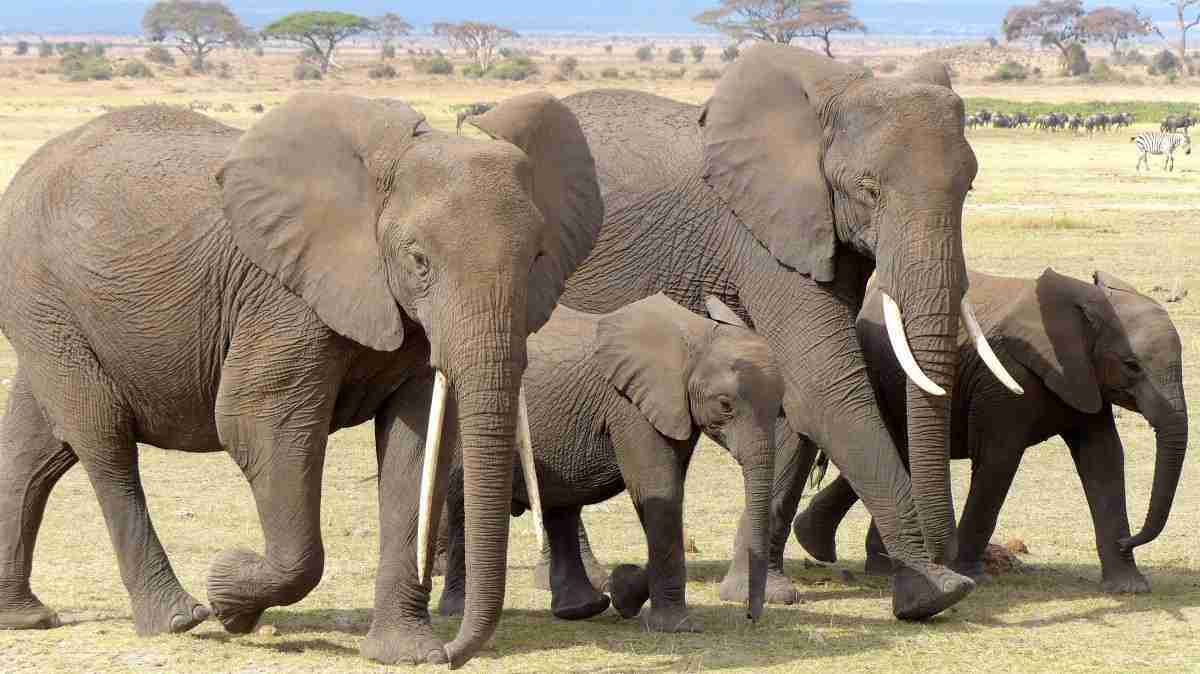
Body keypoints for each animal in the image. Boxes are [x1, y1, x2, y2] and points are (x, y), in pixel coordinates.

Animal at [0, 92, 603, 668]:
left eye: (538, 257)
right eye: (419, 261)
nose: (454, 654)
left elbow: (413, 446)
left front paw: (407, 654)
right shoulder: (283, 298)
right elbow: (256, 422)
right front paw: (228, 593)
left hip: (45, 313)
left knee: (37, 448)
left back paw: (25, 617)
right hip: (43, 295)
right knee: (102, 441)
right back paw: (179, 618)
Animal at [437, 294, 782, 632]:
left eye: (780, 407)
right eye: (725, 405)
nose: (750, 618)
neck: (696, 333)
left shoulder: (673, 408)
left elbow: (664, 492)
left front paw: (623, 590)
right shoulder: (630, 405)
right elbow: (659, 489)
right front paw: (676, 626)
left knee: (560, 506)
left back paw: (582, 608)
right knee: (464, 504)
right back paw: (456, 611)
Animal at [551, 45, 1022, 619]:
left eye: (969, 187)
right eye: (869, 190)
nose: (950, 560)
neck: (836, 92)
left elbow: (792, 398)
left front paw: (761, 593)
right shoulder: (760, 237)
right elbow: (823, 384)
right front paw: (934, 594)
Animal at [790, 269, 1188, 593]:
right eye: (1132, 366)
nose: (1129, 540)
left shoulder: (1085, 381)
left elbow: (1103, 460)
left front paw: (1130, 588)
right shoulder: (1004, 380)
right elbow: (999, 461)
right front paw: (972, 576)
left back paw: (856, 558)